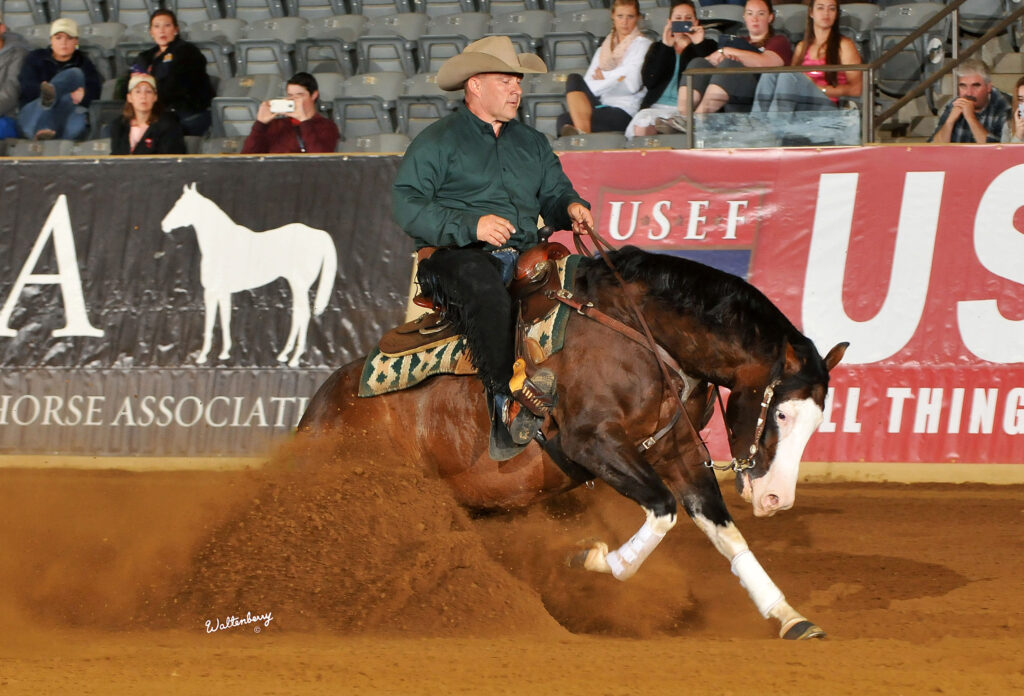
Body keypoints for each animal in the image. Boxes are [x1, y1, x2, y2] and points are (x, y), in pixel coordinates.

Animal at [161, 183, 337, 367]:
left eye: (181, 205)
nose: (164, 224)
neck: (221, 243)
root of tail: (319, 234)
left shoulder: (211, 291)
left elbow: (209, 324)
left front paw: (202, 356)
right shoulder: (223, 292)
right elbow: (224, 319)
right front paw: (224, 353)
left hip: (299, 285)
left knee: (303, 315)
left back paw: (294, 359)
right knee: (299, 316)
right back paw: (284, 355)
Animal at [298, 246, 847, 640]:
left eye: (818, 422)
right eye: (781, 413)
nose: (777, 498)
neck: (645, 338)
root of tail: (319, 407)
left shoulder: (680, 451)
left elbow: (726, 534)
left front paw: (789, 616)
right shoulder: (593, 444)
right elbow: (662, 511)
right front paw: (592, 560)